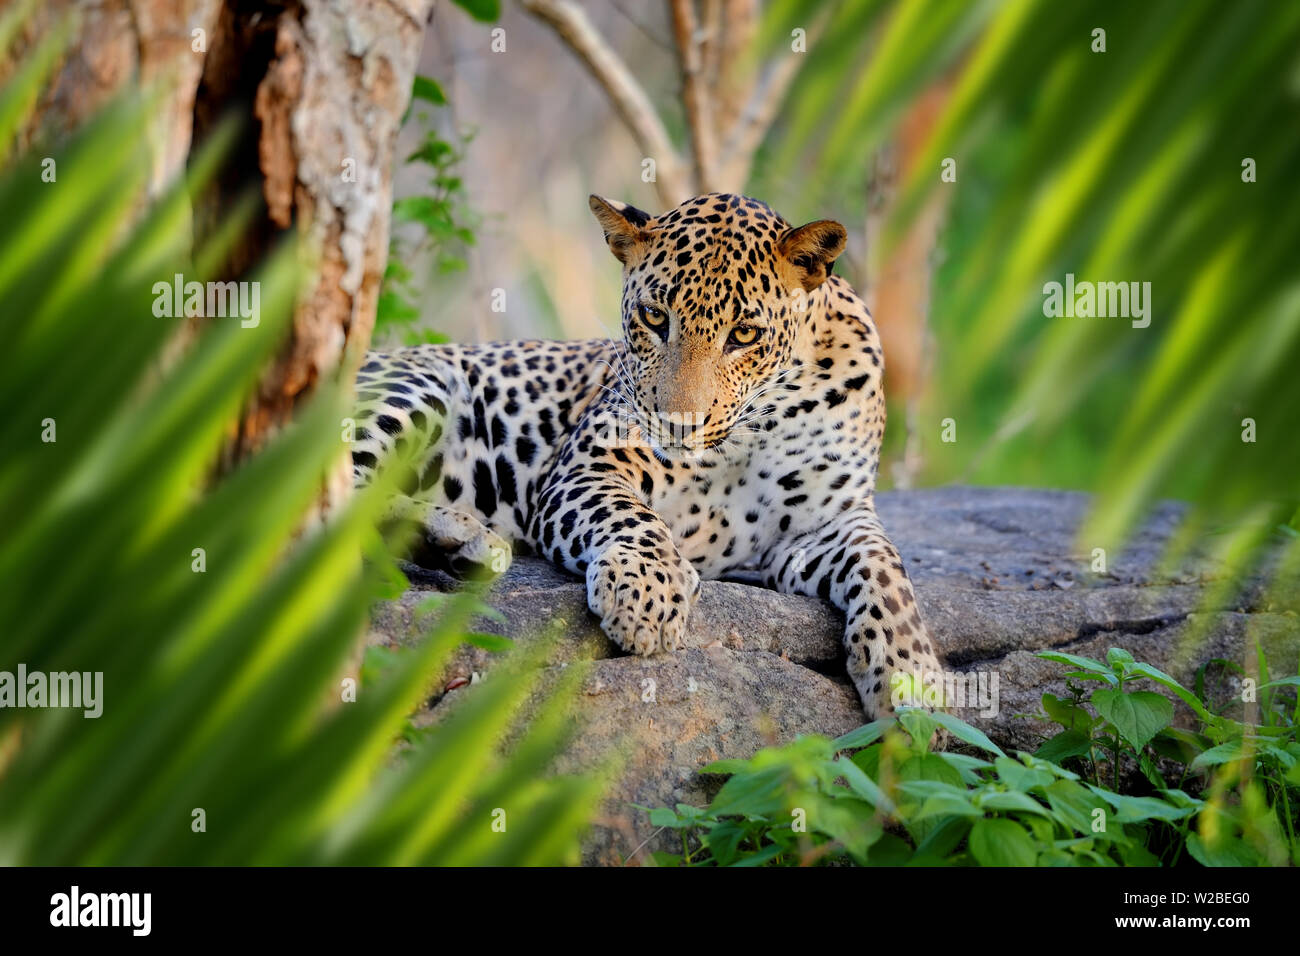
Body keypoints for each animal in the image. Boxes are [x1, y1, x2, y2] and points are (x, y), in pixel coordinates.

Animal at [350, 192, 945, 721]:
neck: (751, 430)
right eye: (655, 317)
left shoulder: (826, 522)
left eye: (744, 334)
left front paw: (913, 678)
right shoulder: (585, 467)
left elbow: (886, 568)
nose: (679, 423)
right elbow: (632, 515)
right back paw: (460, 536)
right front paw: (647, 594)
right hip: (422, 382)